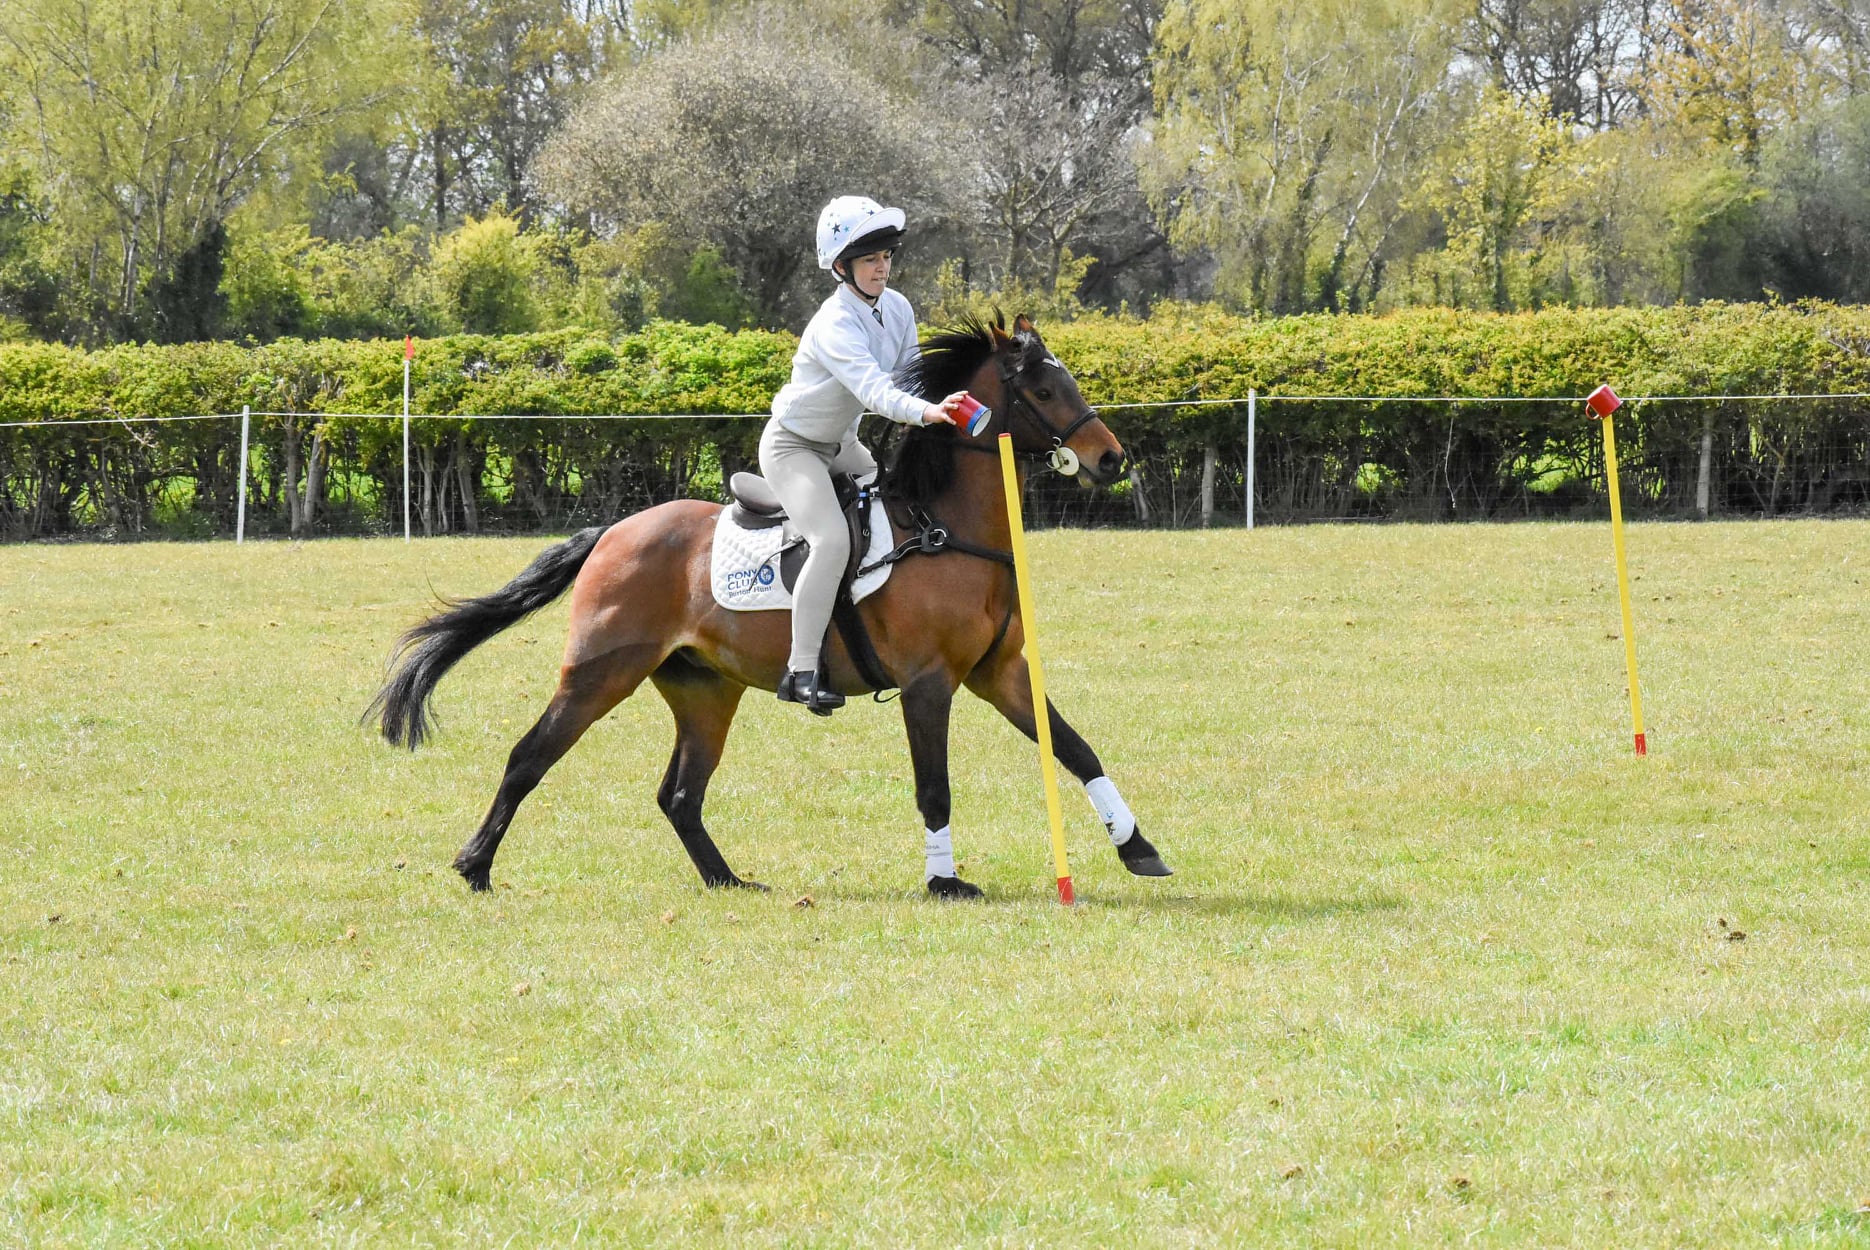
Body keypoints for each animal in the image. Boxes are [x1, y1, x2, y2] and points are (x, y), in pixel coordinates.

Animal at [367, 313, 1172, 898]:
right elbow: (935, 788)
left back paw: (727, 880)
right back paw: (474, 867)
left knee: (679, 795)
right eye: (1043, 390)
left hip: (705, 691)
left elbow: (1076, 748)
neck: (948, 530)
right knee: (529, 757)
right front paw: (945, 883)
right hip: (599, 673)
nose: (1110, 459)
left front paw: (1139, 848)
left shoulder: (998, 673)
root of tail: (613, 532)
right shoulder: (929, 684)